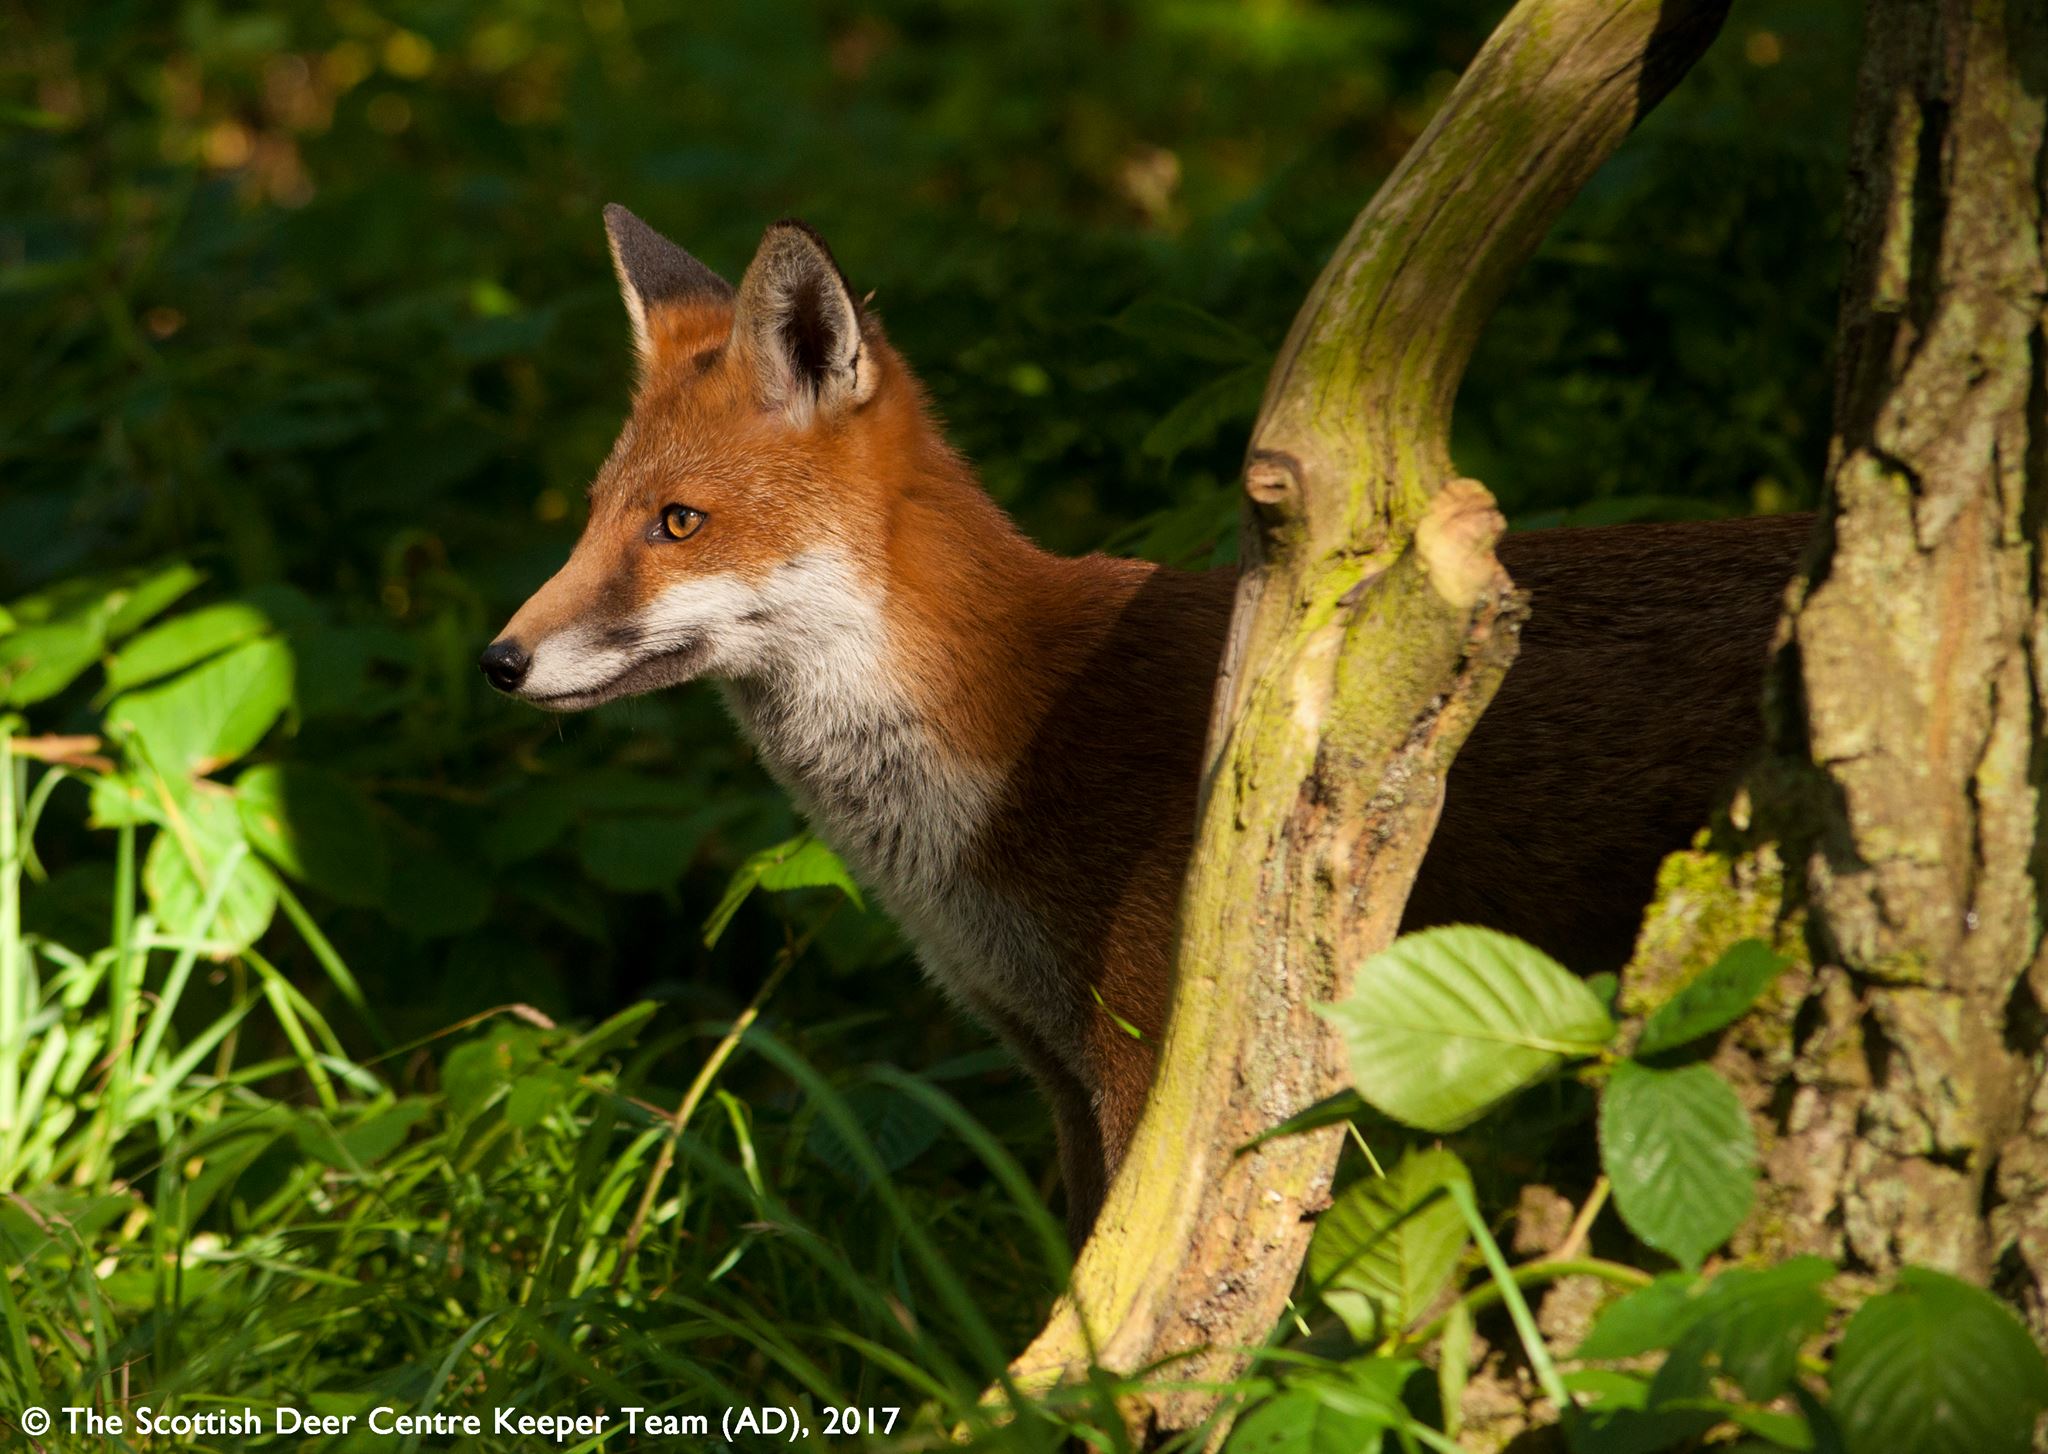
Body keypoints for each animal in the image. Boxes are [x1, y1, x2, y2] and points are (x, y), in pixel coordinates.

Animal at [482, 207, 1812, 1243]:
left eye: (678, 522)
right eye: (595, 514)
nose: (497, 661)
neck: (1000, 743)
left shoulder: (1154, 1061)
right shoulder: (1055, 1066)